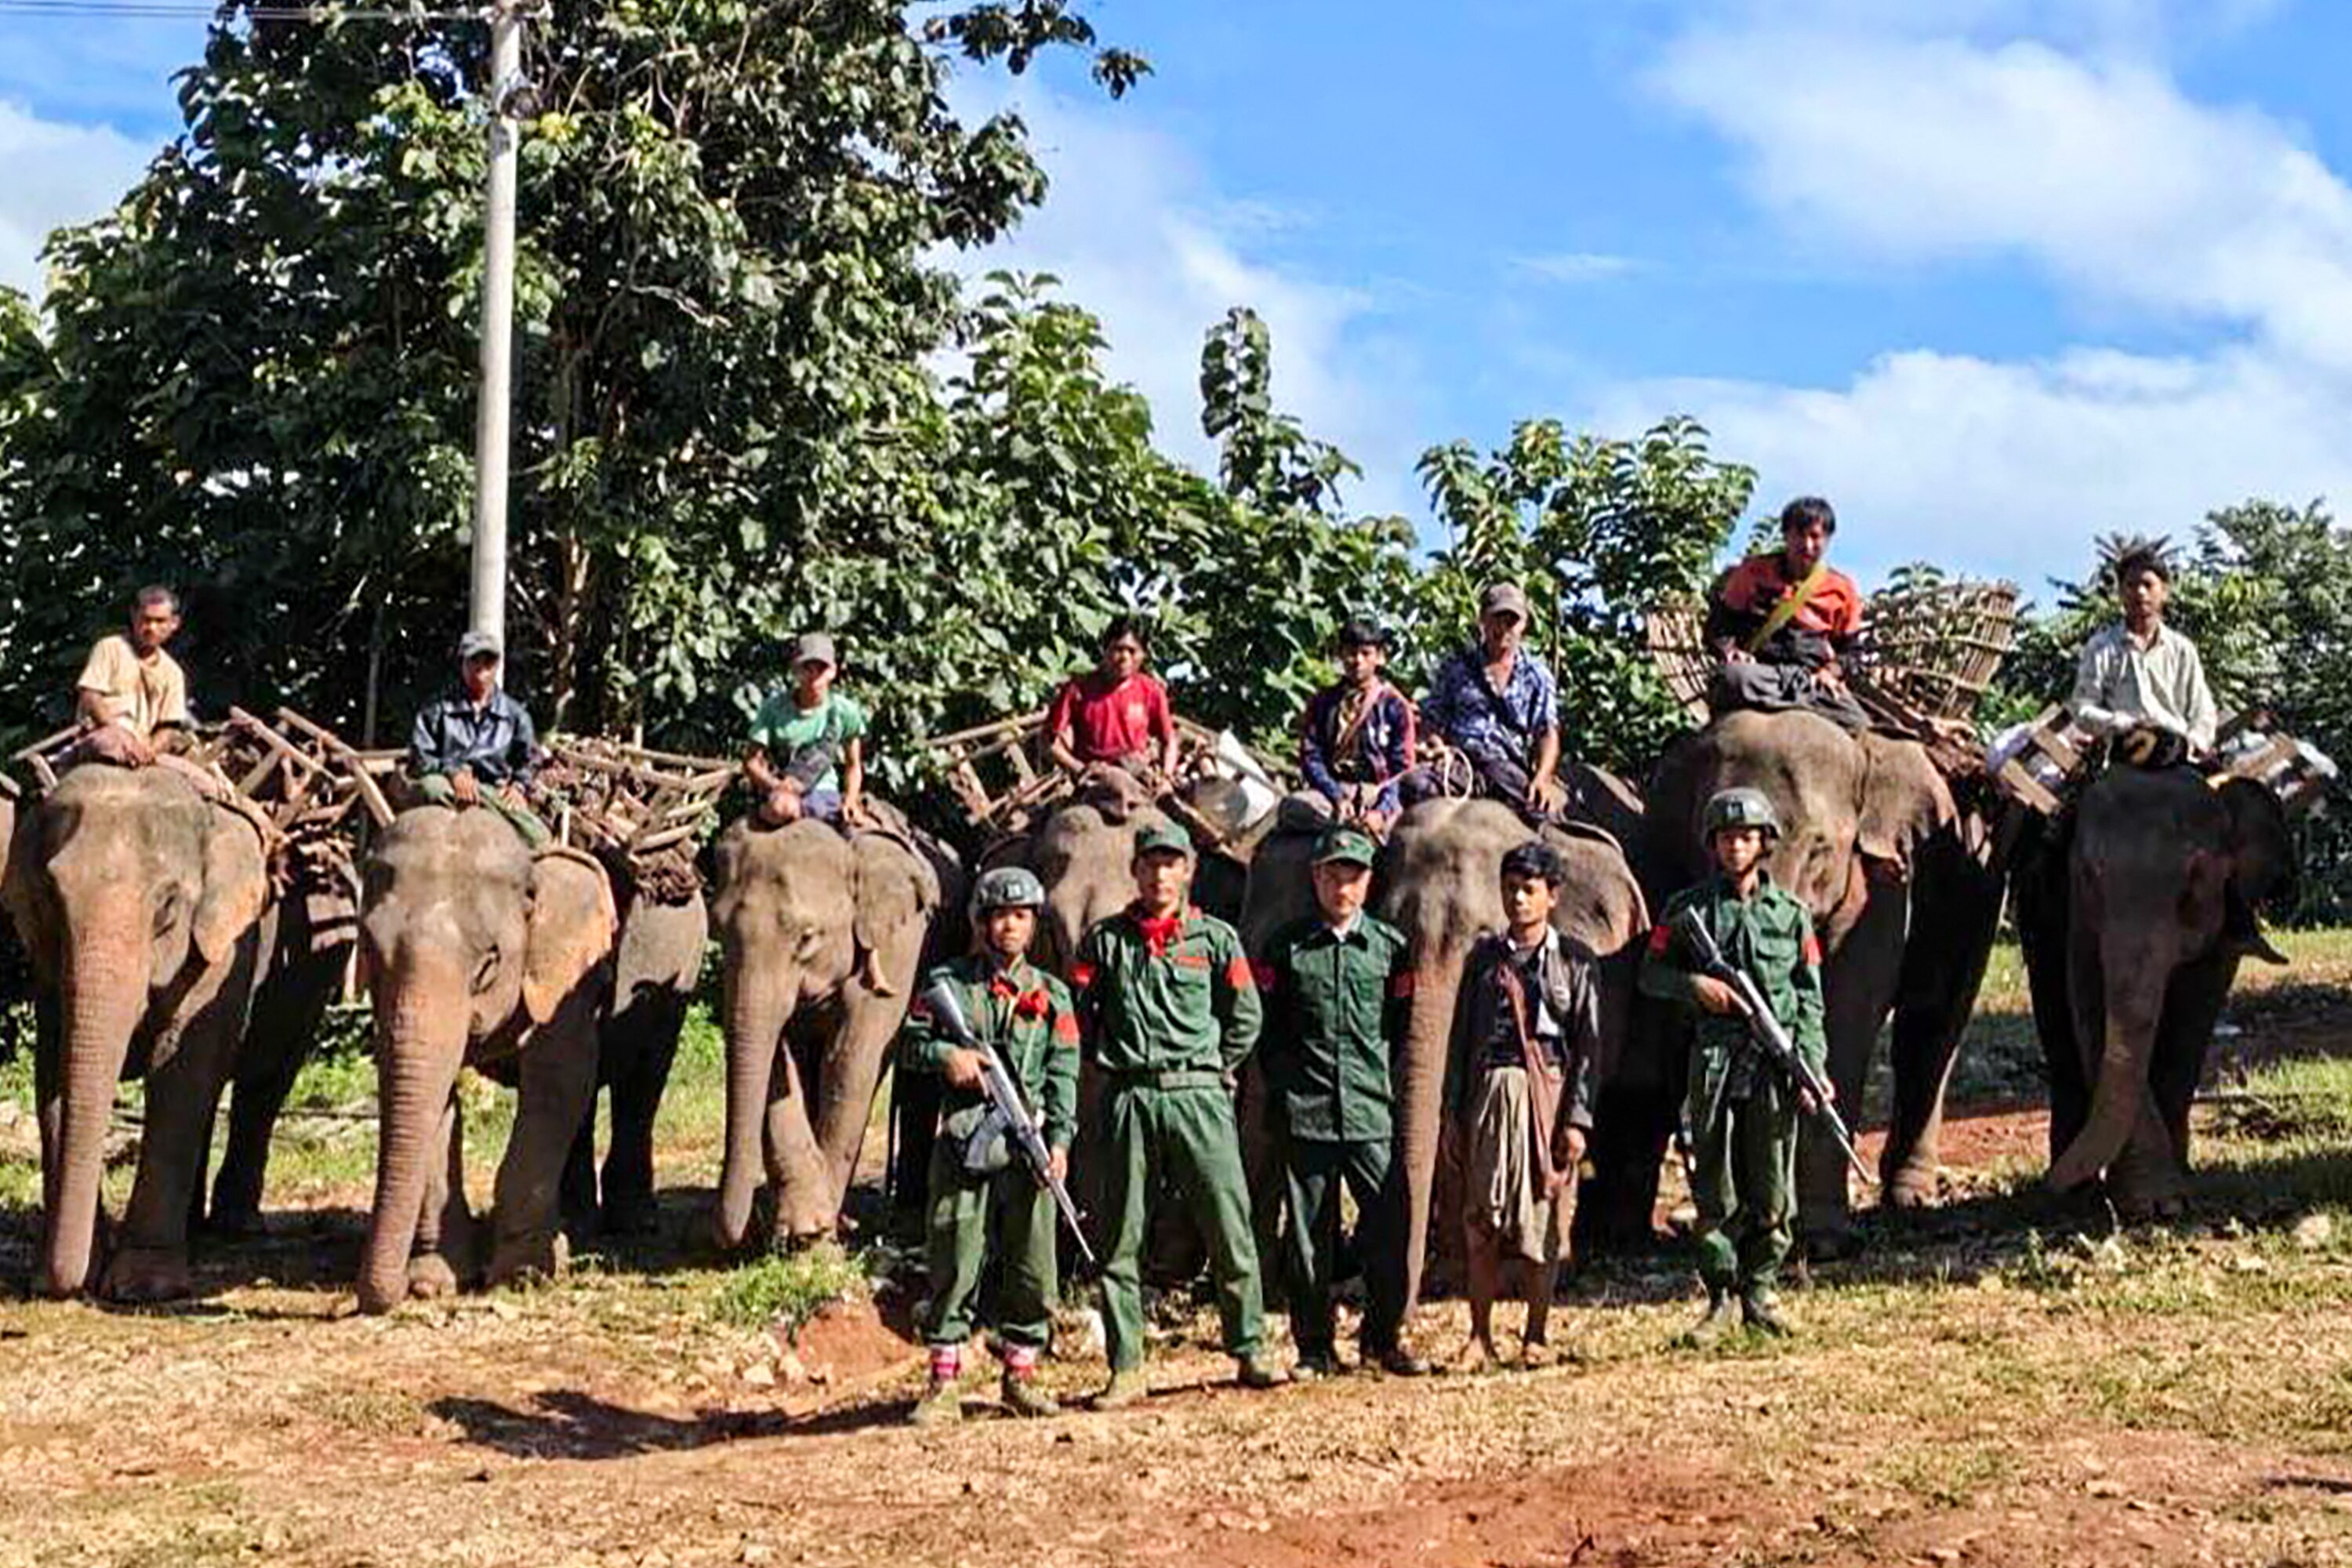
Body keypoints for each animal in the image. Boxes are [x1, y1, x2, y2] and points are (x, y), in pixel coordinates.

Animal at [1, 765, 273, 1300]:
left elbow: (181, 1075)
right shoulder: (48, 972)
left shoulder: (218, 955)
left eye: (168, 907)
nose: (63, 1284)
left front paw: (144, 1285)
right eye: (51, 897)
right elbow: (54, 1072)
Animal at [355, 806, 616, 1313]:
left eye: (489, 962)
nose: (386, 1293)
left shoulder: (564, 980)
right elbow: (430, 1099)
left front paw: (522, 1275)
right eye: (372, 952)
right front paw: (432, 1282)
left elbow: (559, 1084)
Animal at [711, 813, 950, 1252]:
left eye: (807, 937)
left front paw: (817, 1235)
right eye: (718, 932)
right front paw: (802, 1226)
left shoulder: (899, 944)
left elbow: (850, 1059)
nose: (736, 1234)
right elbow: (780, 1058)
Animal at [1641, 709, 2002, 1252]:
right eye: (1707, 837)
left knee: (1935, 1020)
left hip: (1979, 875)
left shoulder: (1880, 880)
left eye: (1820, 849)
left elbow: (1849, 1009)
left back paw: (1909, 1199)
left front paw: (1822, 1240)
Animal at [2016, 767, 2293, 1215]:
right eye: (2089, 876)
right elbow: (2090, 1008)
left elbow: (2190, 1021)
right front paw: (2152, 1205)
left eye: (2193, 883)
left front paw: (2165, 1201)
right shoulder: (2073, 907)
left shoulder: (2220, 929)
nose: (2049, 1184)